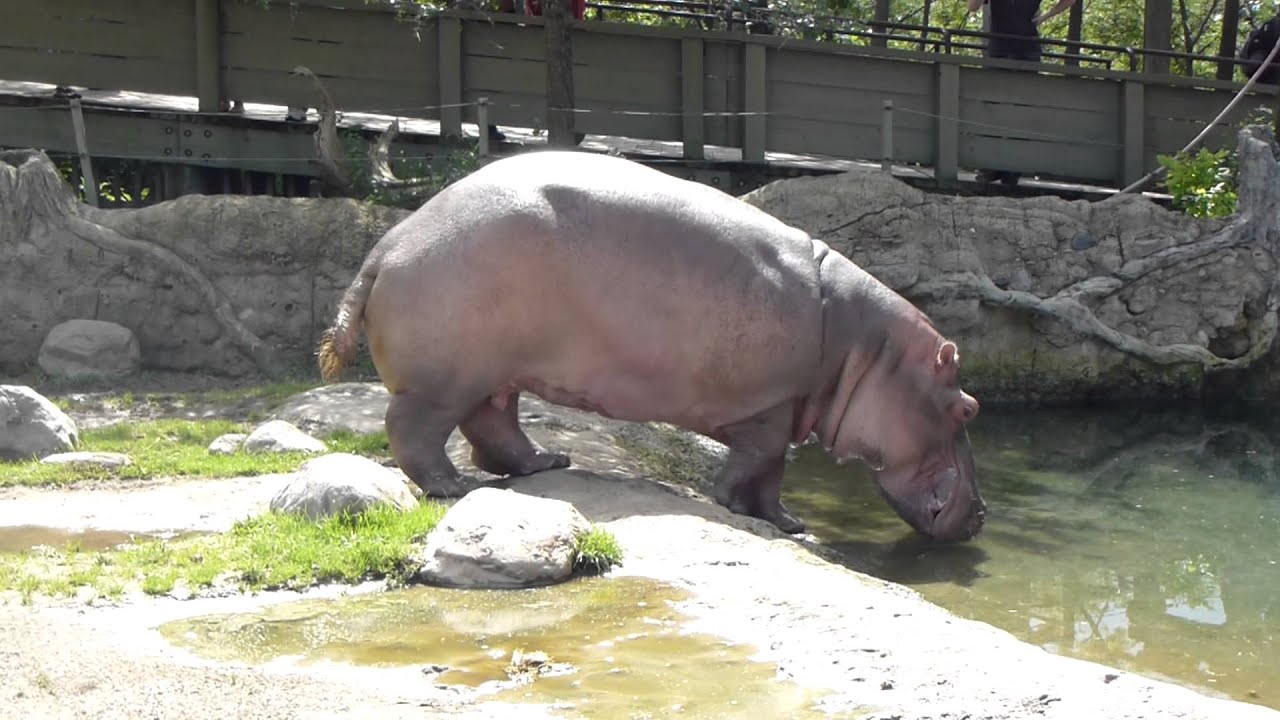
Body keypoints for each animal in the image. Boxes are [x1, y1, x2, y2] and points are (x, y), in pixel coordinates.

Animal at [318, 150, 986, 541]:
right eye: (967, 408)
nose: (982, 515)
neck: (865, 349)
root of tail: (387, 246)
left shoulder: (786, 407)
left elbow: (774, 477)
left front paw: (789, 524)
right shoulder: (771, 407)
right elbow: (760, 464)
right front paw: (734, 507)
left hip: (494, 372)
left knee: (494, 427)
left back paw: (548, 463)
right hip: (442, 380)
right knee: (415, 432)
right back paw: (452, 487)